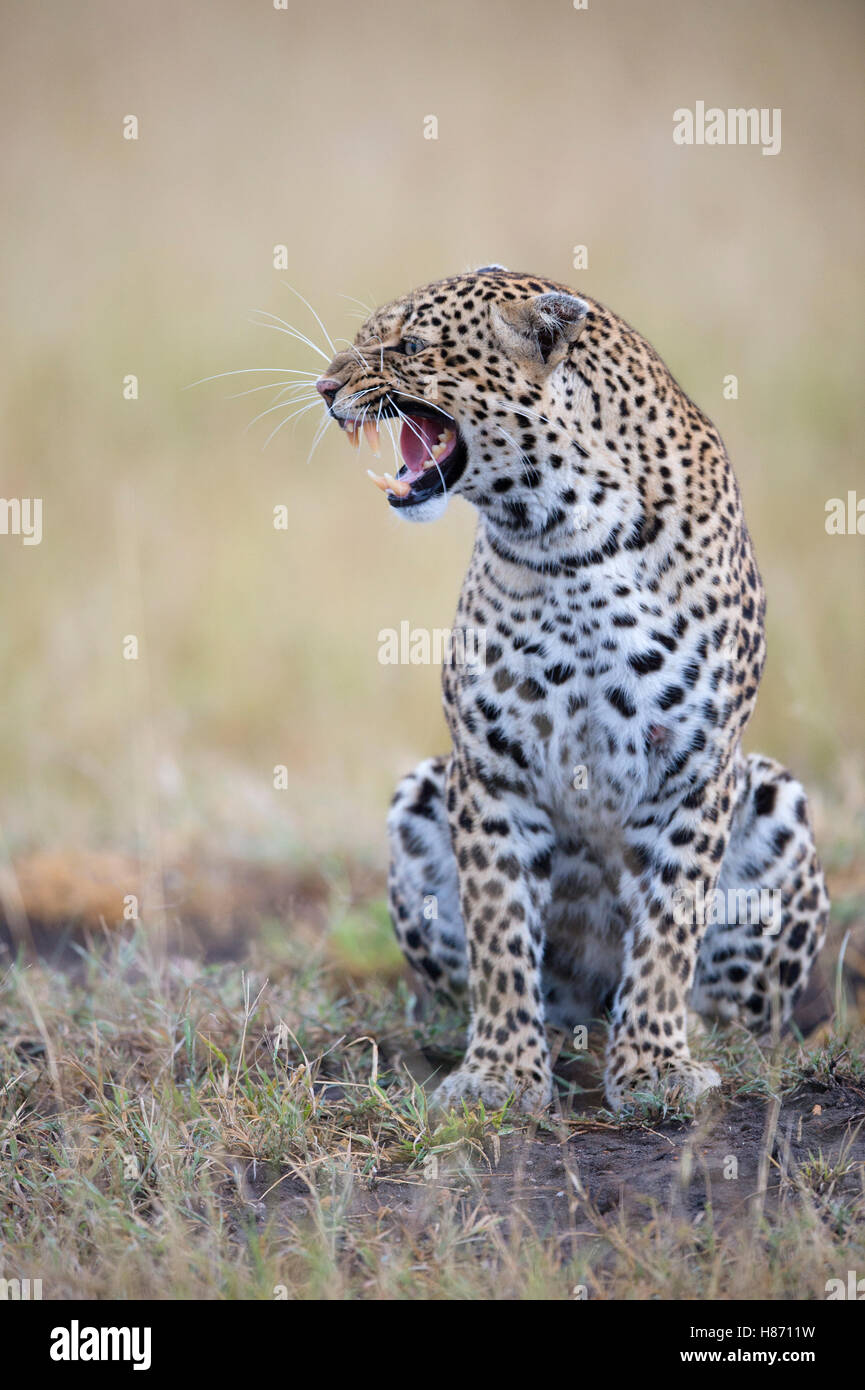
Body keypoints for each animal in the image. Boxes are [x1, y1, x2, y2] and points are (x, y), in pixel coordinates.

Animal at [313, 266, 829, 1114]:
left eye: (410, 346)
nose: (325, 388)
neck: (562, 536)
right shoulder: (490, 768)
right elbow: (498, 931)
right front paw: (498, 1072)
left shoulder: (693, 767)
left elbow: (668, 928)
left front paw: (654, 1065)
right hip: (420, 795)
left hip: (773, 800)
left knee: (744, 1014)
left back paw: (684, 1037)